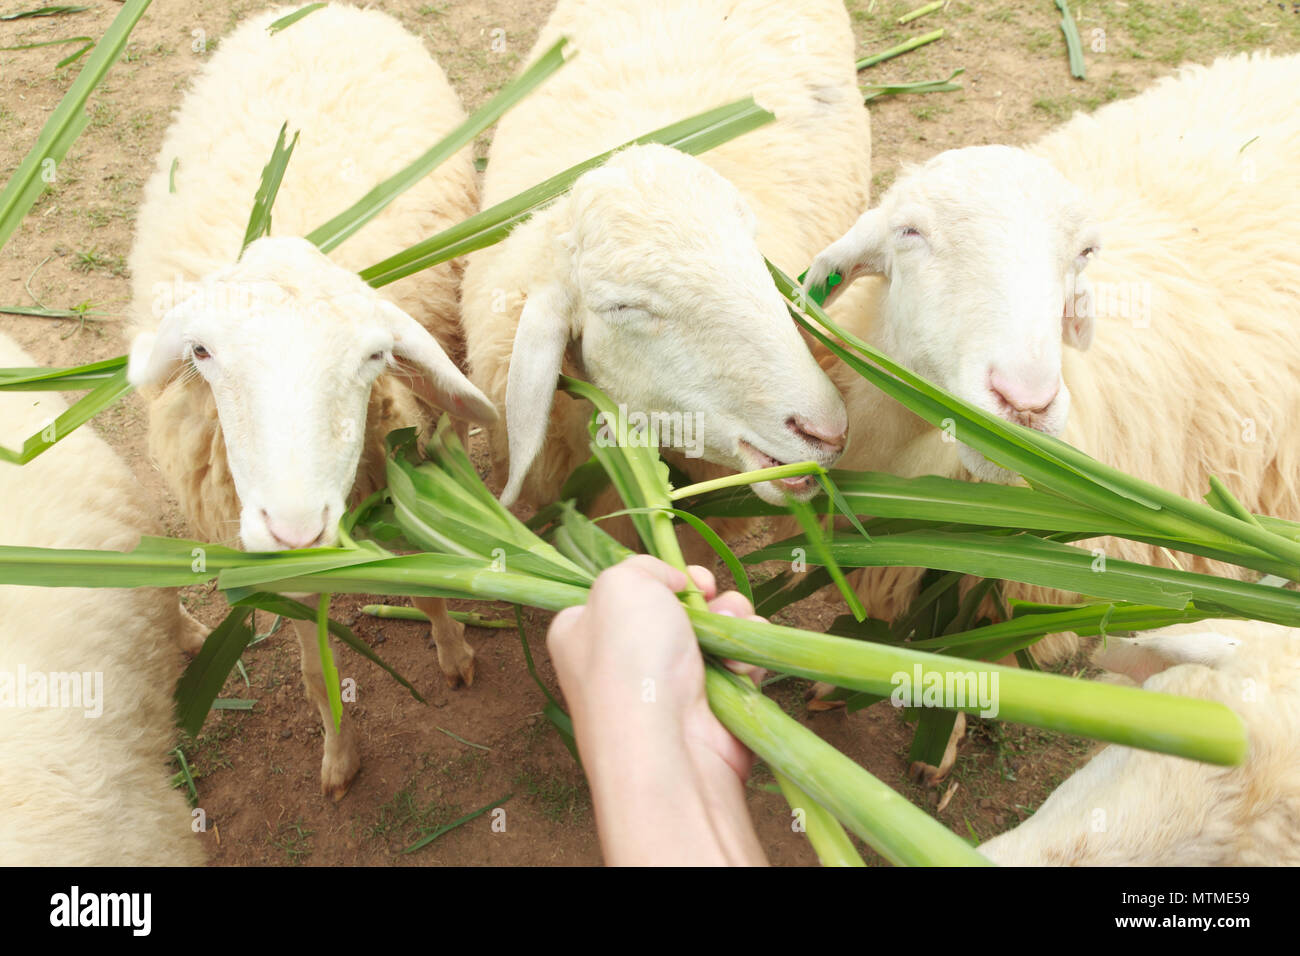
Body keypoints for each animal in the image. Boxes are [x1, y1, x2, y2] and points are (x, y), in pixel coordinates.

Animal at [124, 4, 496, 800]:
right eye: (202, 352)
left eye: (374, 356)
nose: (296, 527)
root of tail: (321, 9)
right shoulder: (273, 568)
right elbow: (311, 670)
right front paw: (337, 757)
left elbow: (429, 587)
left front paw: (453, 652)